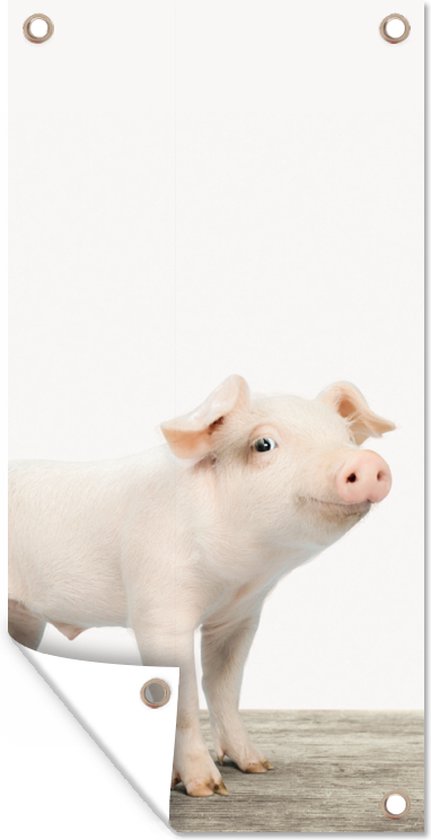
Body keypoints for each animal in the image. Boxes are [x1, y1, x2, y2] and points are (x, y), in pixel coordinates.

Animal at [8, 375, 394, 796]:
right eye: (263, 444)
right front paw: (207, 789)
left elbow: (224, 688)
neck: (237, 577)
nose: (366, 463)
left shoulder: (239, 617)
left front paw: (258, 766)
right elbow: (183, 698)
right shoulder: (159, 608)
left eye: (347, 437)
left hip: (24, 617)